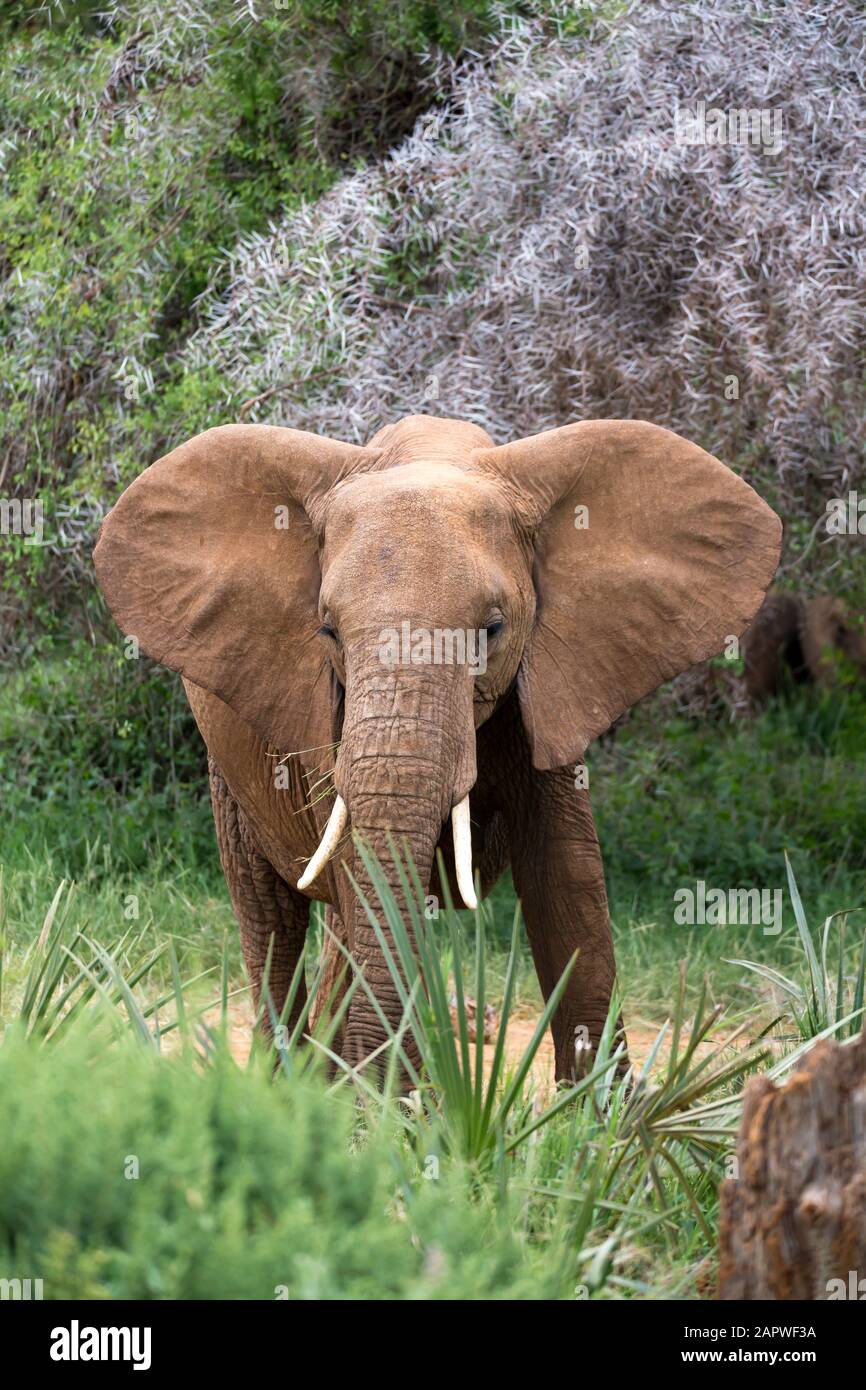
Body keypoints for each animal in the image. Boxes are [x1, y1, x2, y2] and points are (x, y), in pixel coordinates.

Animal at [93, 414, 781, 1082]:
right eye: (327, 631)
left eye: (493, 630)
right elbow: (364, 881)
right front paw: (390, 1110)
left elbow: (568, 881)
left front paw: (597, 1116)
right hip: (227, 772)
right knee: (274, 921)